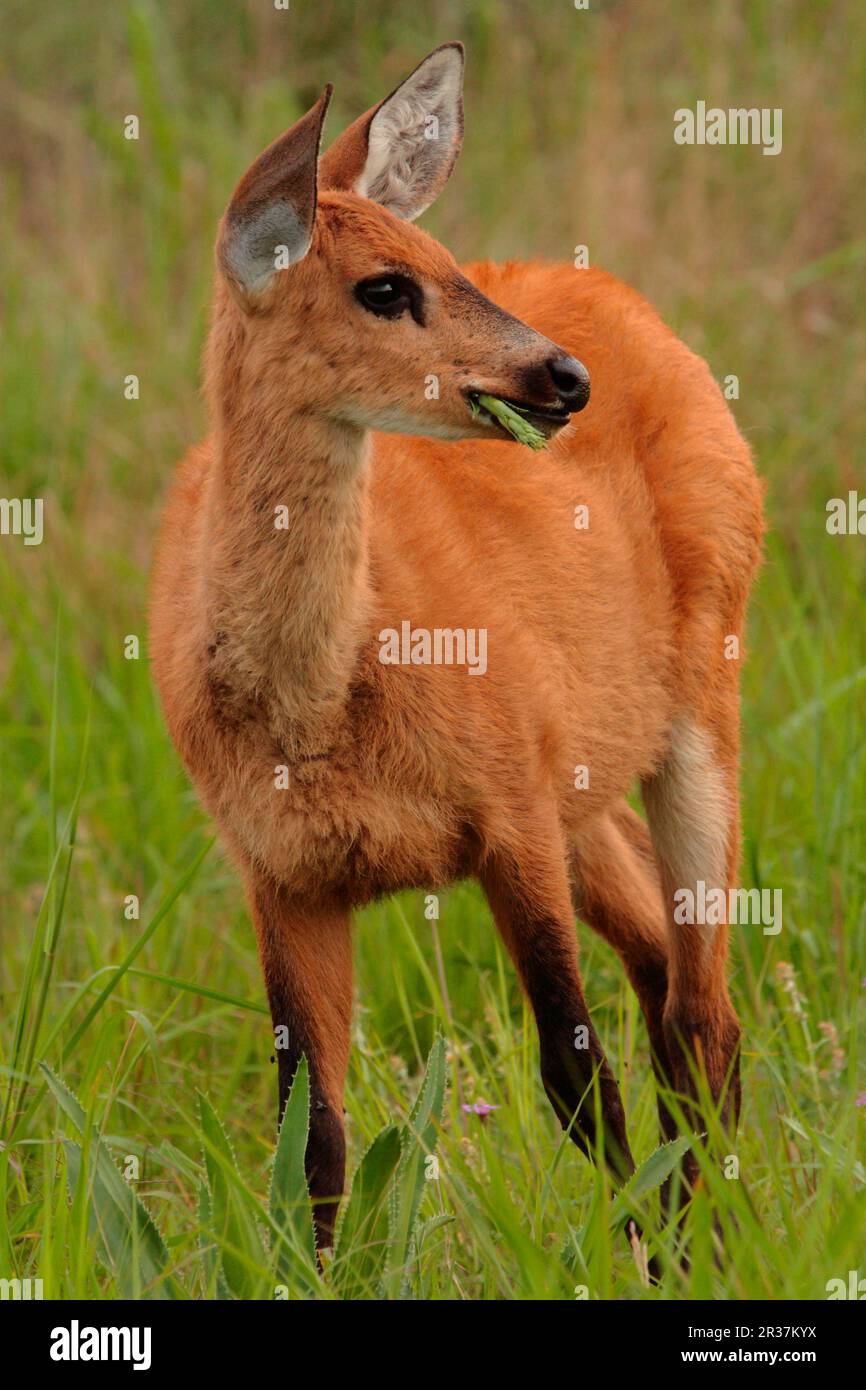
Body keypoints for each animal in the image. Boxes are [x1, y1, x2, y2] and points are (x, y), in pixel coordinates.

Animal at [150, 43, 764, 1253]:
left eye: (439, 261)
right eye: (385, 287)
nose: (562, 379)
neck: (320, 705)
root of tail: (624, 303)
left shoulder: (507, 813)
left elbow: (574, 1076)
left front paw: (623, 1257)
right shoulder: (280, 873)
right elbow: (313, 1140)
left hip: (699, 708)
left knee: (702, 1009)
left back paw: (716, 1245)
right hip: (588, 790)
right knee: (665, 974)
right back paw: (697, 1233)